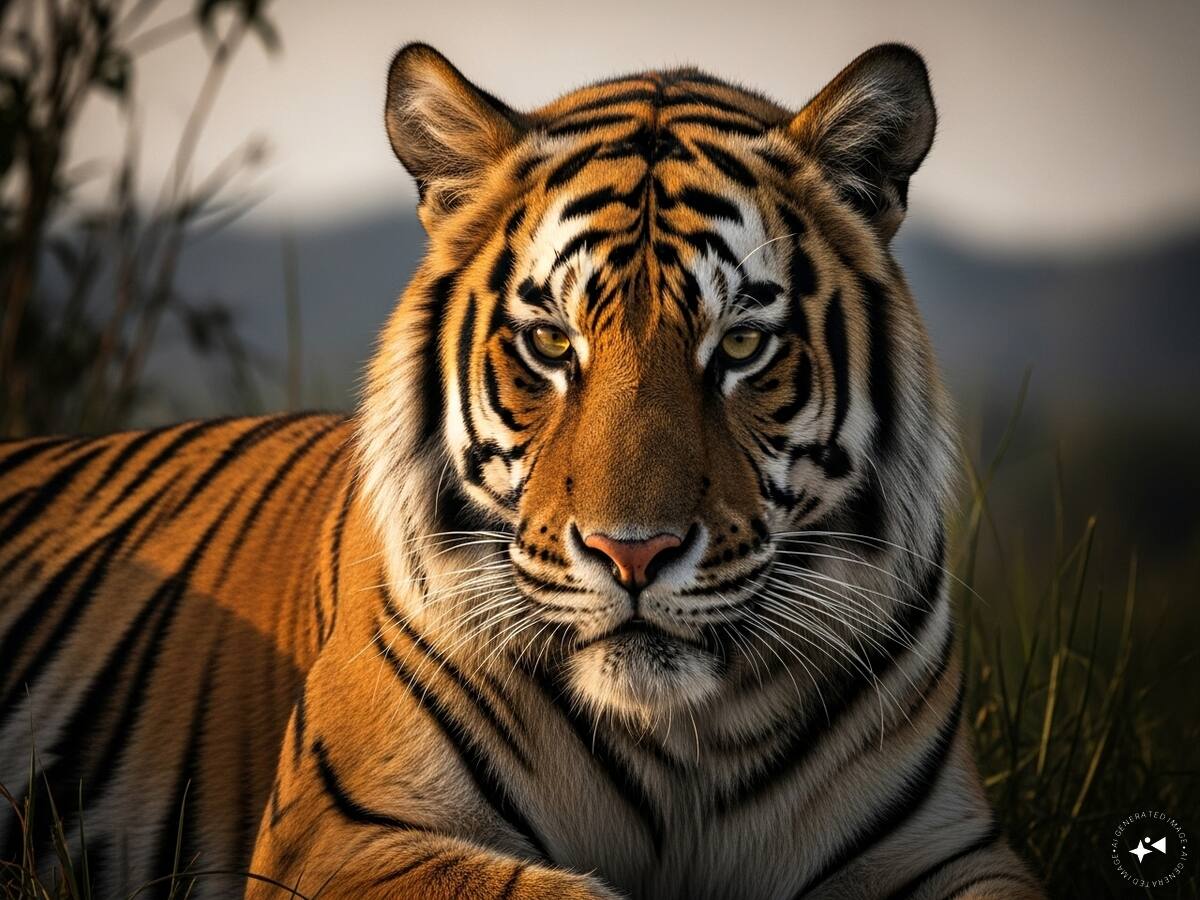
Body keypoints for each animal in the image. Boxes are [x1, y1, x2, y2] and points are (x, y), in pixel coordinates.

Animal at [0, 42, 1046, 899]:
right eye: (550, 342)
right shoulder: (346, 833)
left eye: (742, 345)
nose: (635, 555)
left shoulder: (948, 852)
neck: (679, 745)